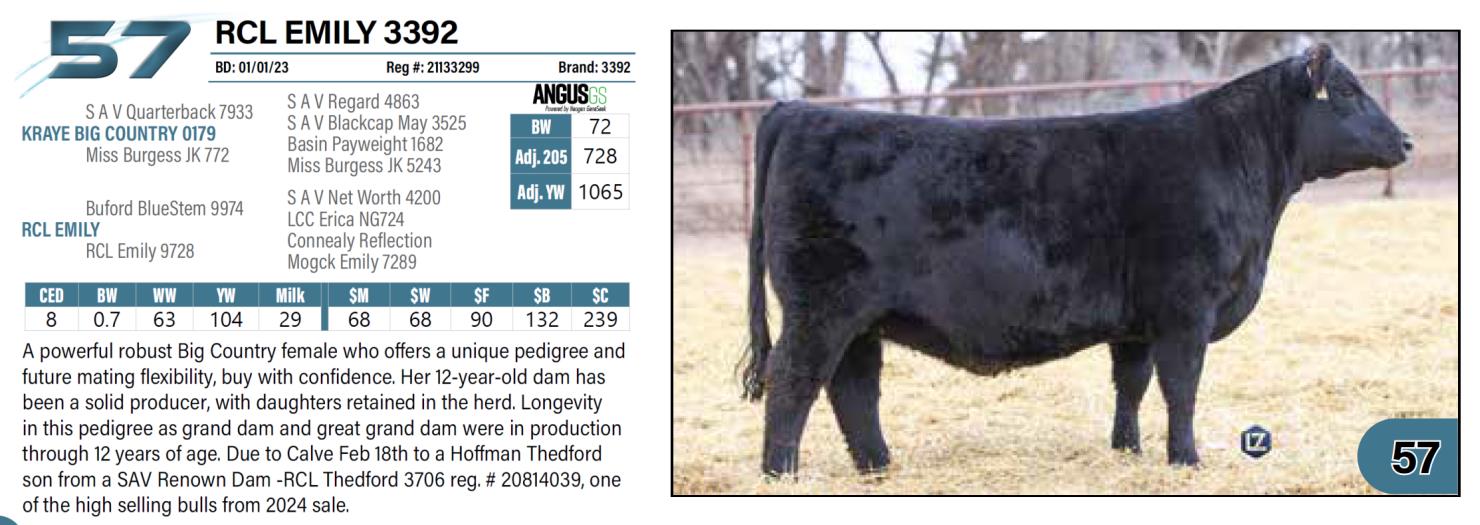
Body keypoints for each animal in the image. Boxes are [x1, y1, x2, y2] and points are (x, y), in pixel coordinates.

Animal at [740, 44, 1410, 476]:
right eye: (1348, 94)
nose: (1405, 140)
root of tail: (799, 111)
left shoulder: (1138, 321)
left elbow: (1131, 385)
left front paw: (1128, 452)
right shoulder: (1185, 310)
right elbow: (1181, 388)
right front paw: (1186, 460)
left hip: (859, 320)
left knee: (853, 389)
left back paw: (878, 468)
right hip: (820, 308)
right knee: (793, 382)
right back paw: (782, 474)